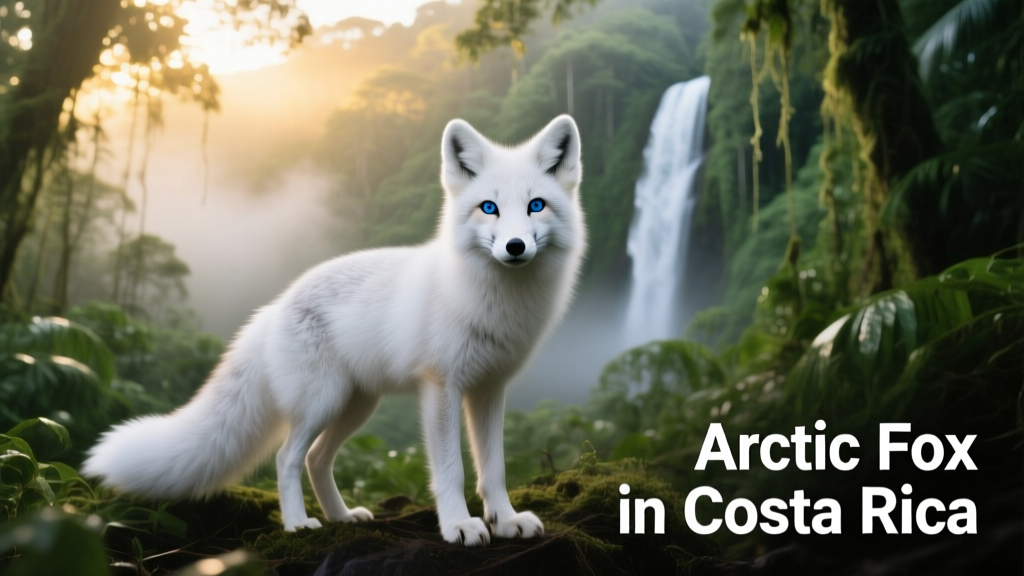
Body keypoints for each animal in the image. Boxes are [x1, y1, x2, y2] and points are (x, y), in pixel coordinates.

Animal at [83, 115, 586, 546]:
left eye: (536, 206)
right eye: (489, 208)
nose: (515, 247)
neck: (492, 300)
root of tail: (273, 307)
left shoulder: (488, 389)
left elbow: (493, 469)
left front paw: (506, 521)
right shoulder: (441, 387)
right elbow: (451, 470)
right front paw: (459, 526)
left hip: (354, 405)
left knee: (315, 459)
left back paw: (341, 518)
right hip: (322, 401)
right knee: (288, 458)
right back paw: (298, 525)